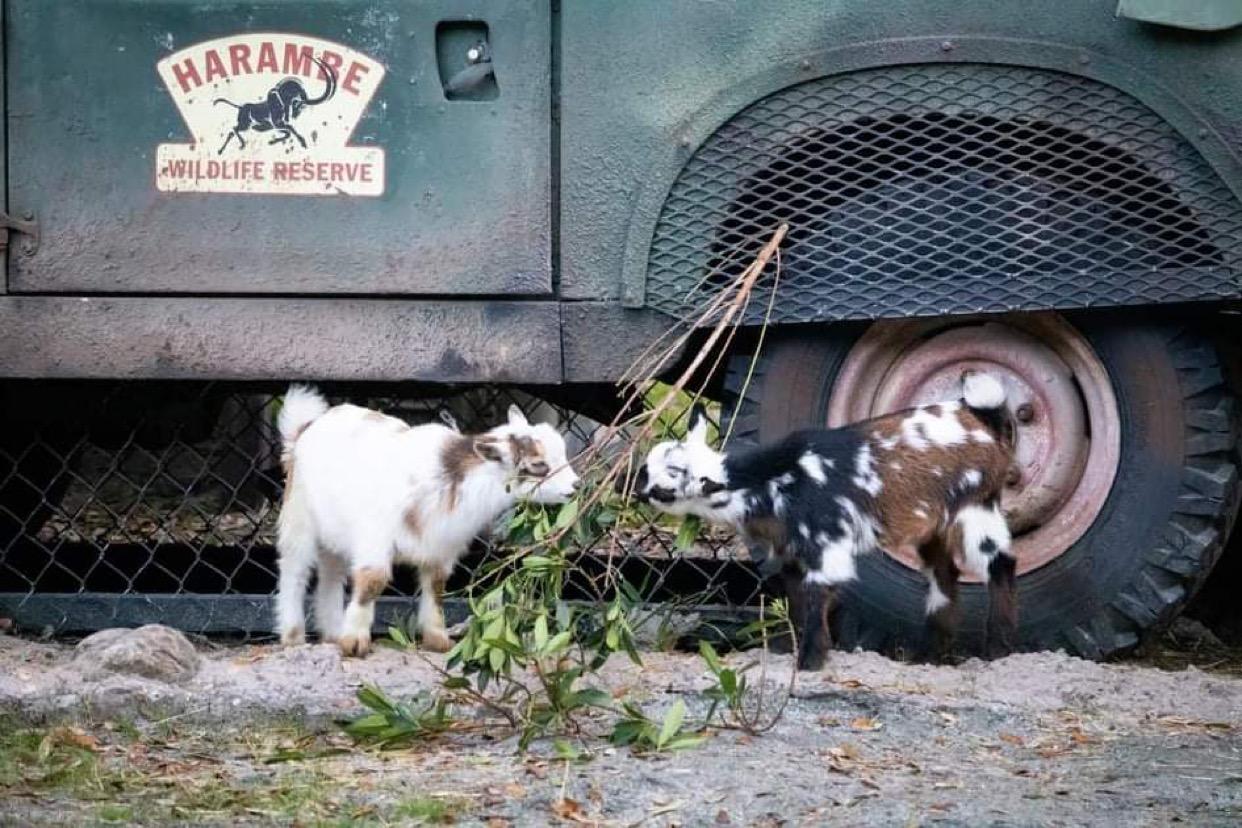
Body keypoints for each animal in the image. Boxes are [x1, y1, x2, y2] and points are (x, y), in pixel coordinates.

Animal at [274, 386, 579, 657]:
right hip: (298, 518)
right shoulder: (375, 538)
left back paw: (333, 632)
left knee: (331, 576)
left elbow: (436, 587)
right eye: (539, 465)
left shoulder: (440, 547)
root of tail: (304, 429)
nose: (576, 486)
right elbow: (373, 581)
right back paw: (294, 637)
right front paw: (355, 643)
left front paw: (438, 641)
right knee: (295, 572)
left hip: (333, 536)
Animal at [632, 371, 1017, 670]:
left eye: (664, 482)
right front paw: (795, 651)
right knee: (944, 574)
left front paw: (810, 662)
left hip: (975, 509)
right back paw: (931, 654)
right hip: (932, 526)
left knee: (1001, 564)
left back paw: (998, 648)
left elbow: (818, 596)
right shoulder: (790, 554)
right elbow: (797, 601)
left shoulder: (826, 543)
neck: (773, 480)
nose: (635, 489)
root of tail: (983, 419)